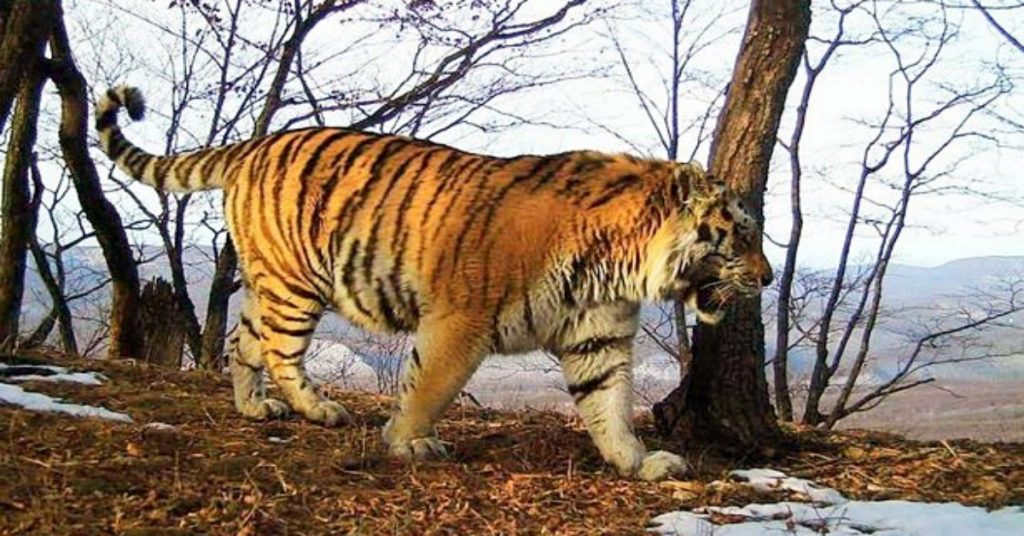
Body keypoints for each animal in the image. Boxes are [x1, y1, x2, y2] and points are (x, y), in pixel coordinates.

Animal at [95, 85, 772, 481]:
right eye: (739, 234)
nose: (766, 278)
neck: (619, 265)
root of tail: (256, 144)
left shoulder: (597, 337)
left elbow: (610, 405)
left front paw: (639, 463)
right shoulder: (461, 319)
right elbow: (430, 385)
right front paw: (407, 442)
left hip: (272, 283)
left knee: (244, 342)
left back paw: (252, 406)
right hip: (297, 284)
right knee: (283, 353)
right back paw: (320, 408)